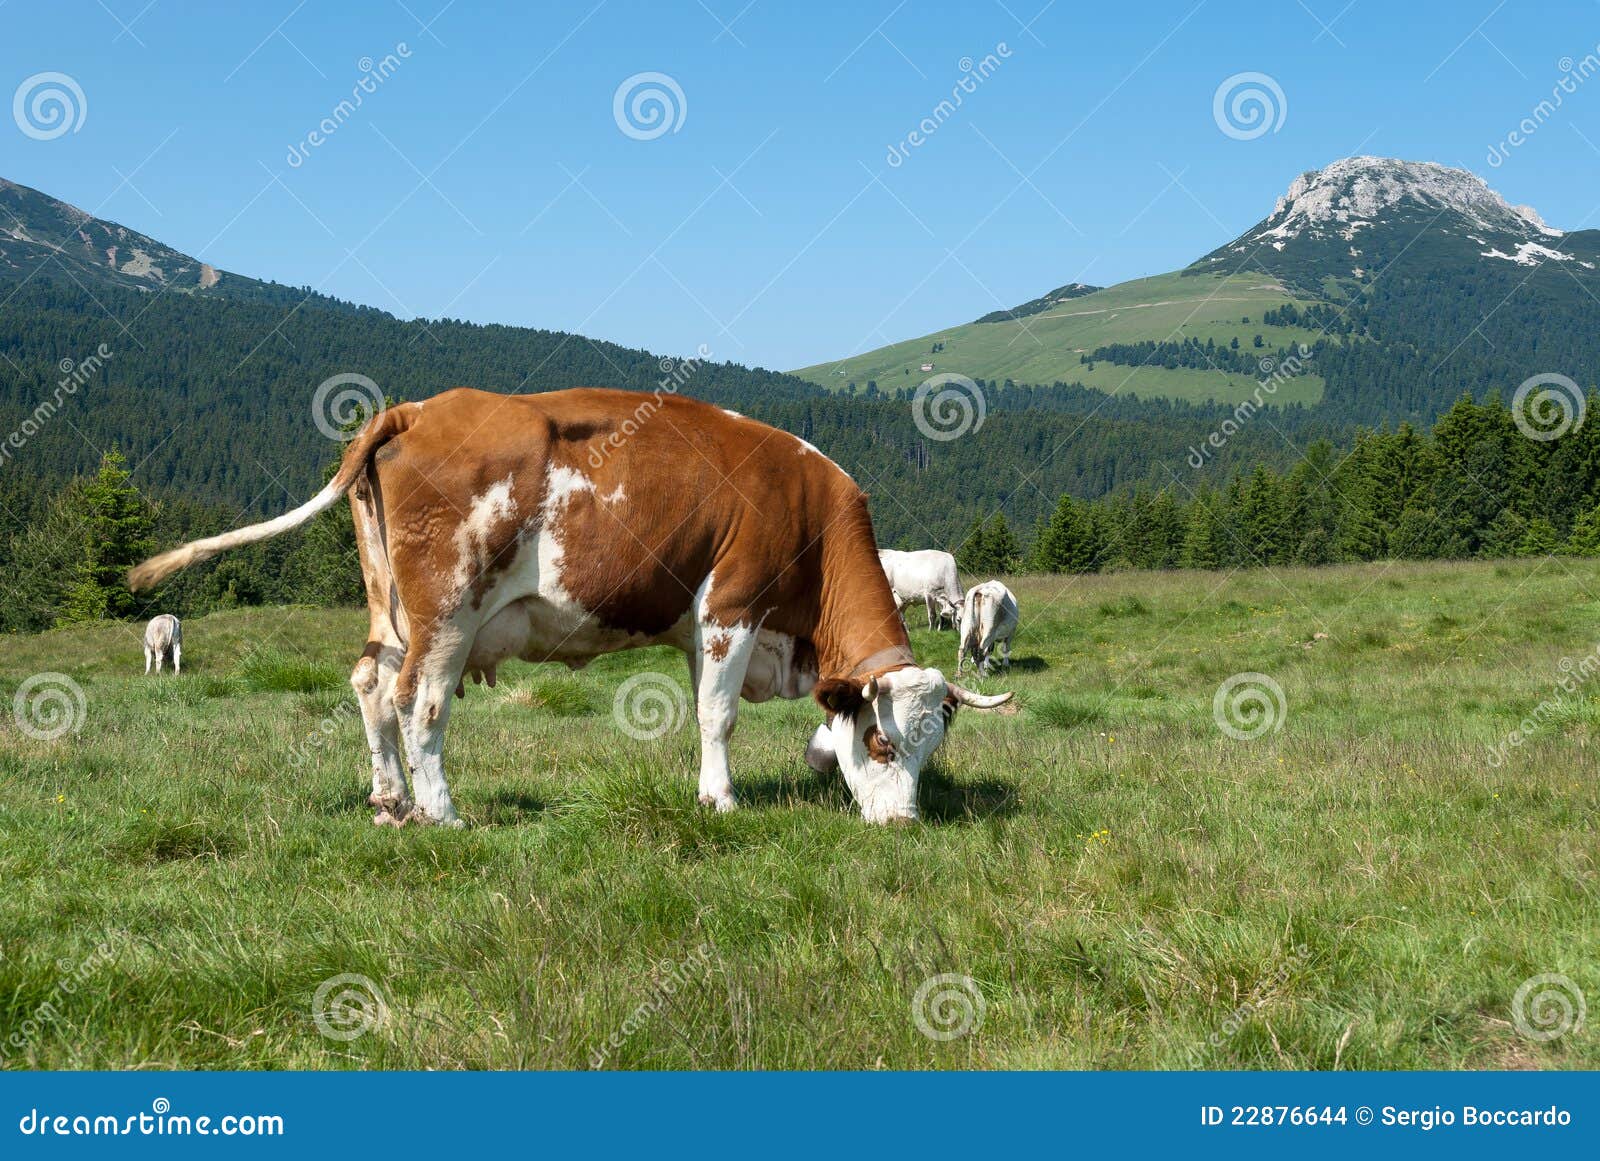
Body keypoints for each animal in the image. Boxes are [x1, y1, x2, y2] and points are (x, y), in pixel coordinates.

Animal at [129, 388, 1011, 826]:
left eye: (932, 747)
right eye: (883, 741)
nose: (904, 825)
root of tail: (423, 406)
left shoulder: (701, 628)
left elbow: (718, 709)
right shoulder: (730, 607)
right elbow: (718, 714)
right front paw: (721, 799)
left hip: (392, 609)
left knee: (371, 686)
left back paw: (389, 800)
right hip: (448, 609)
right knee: (419, 701)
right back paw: (440, 811)